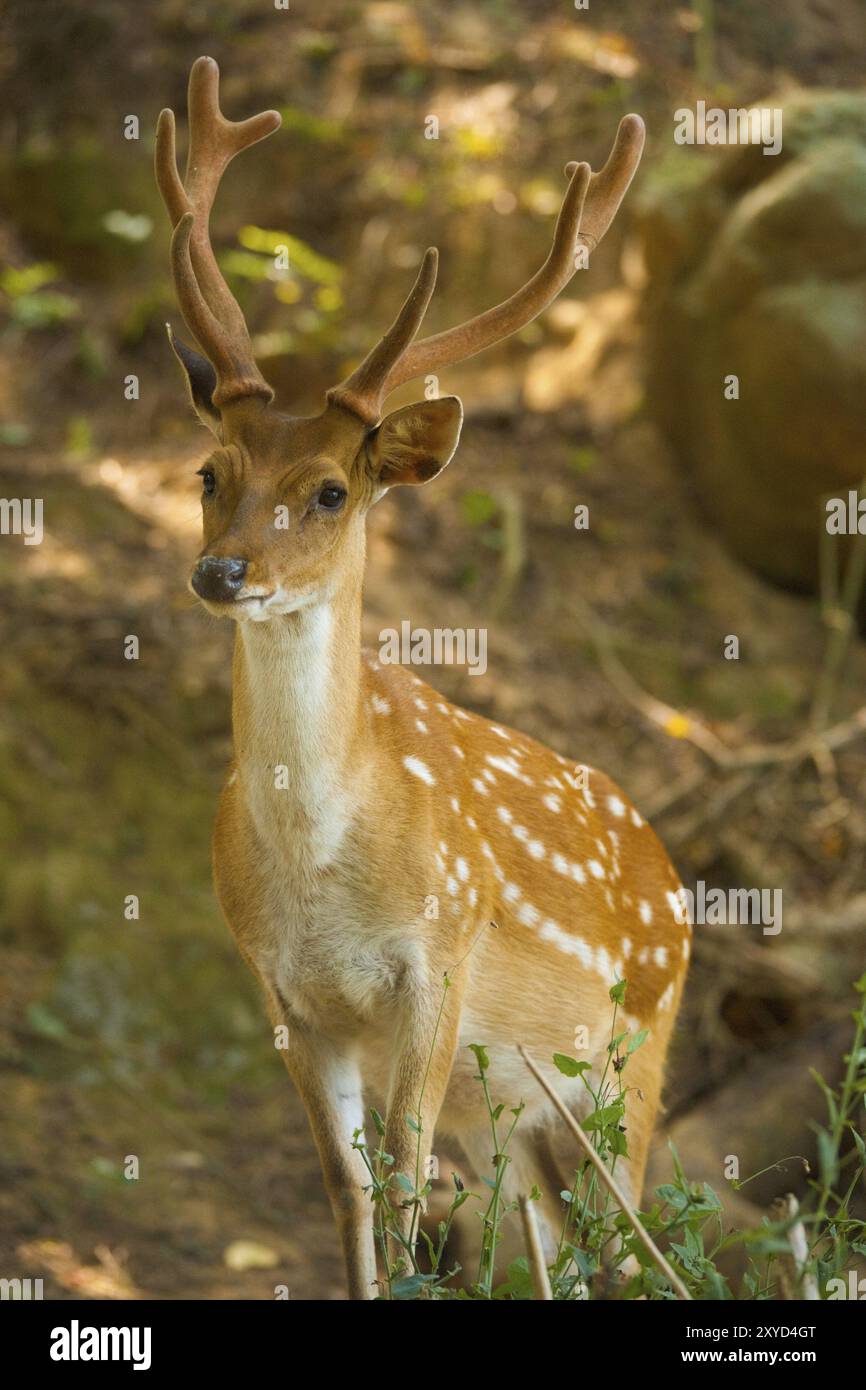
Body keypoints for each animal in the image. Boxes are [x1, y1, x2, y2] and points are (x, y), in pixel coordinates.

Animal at [155, 57, 690, 1300]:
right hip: (522, 1104)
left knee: (626, 1238)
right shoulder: (287, 994)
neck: (321, 868)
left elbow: (401, 1195)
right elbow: (349, 1195)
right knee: (555, 1248)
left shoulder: (436, 959)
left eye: (329, 490)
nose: (220, 571)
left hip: (632, 1056)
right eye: (210, 470)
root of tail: (677, 877)